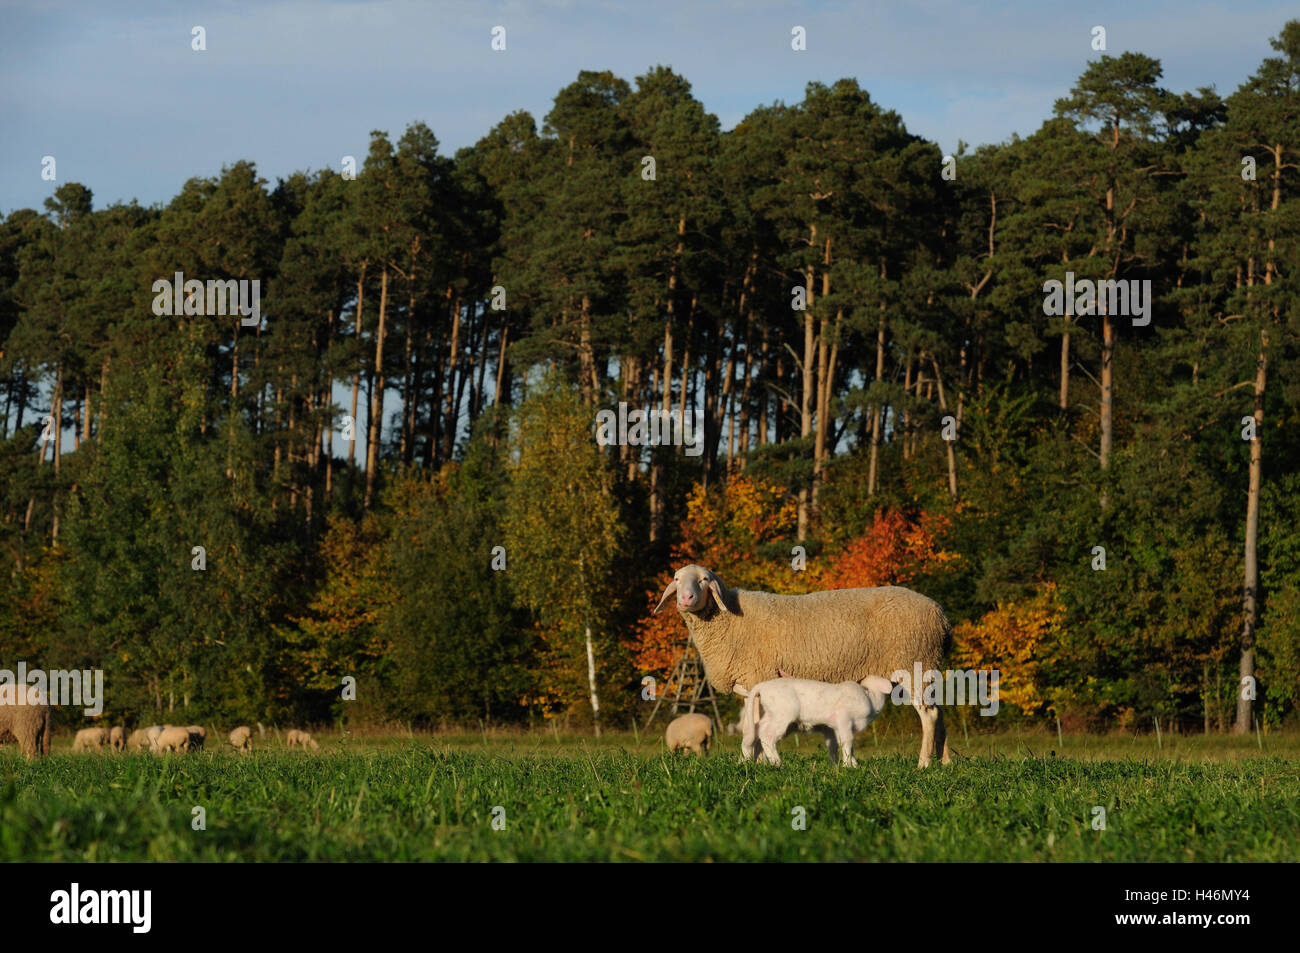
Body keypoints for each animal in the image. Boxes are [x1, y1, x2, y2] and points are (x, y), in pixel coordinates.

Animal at [736, 675, 894, 767]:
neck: (871, 699)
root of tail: (762, 686)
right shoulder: (844, 719)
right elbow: (847, 742)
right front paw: (847, 765)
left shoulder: (835, 727)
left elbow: (837, 745)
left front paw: (849, 765)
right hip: (782, 715)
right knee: (767, 736)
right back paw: (778, 764)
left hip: (771, 714)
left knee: (755, 731)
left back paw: (747, 759)